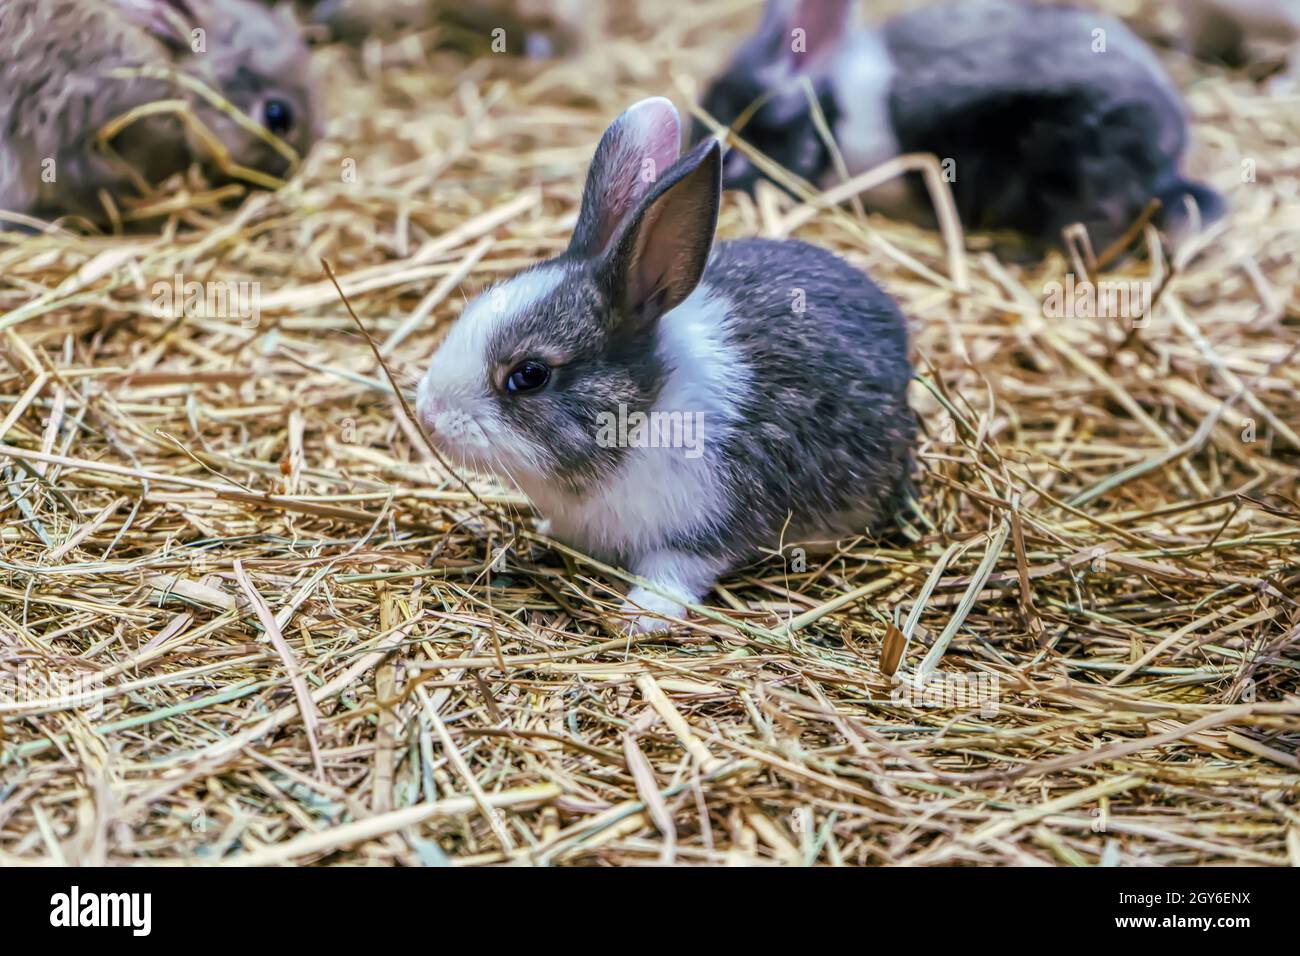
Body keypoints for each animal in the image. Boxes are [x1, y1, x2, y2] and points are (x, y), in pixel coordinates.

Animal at [415, 97, 915, 632]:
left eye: (530, 374)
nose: (428, 415)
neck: (644, 417)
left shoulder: (701, 531)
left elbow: (674, 572)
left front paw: (643, 616)